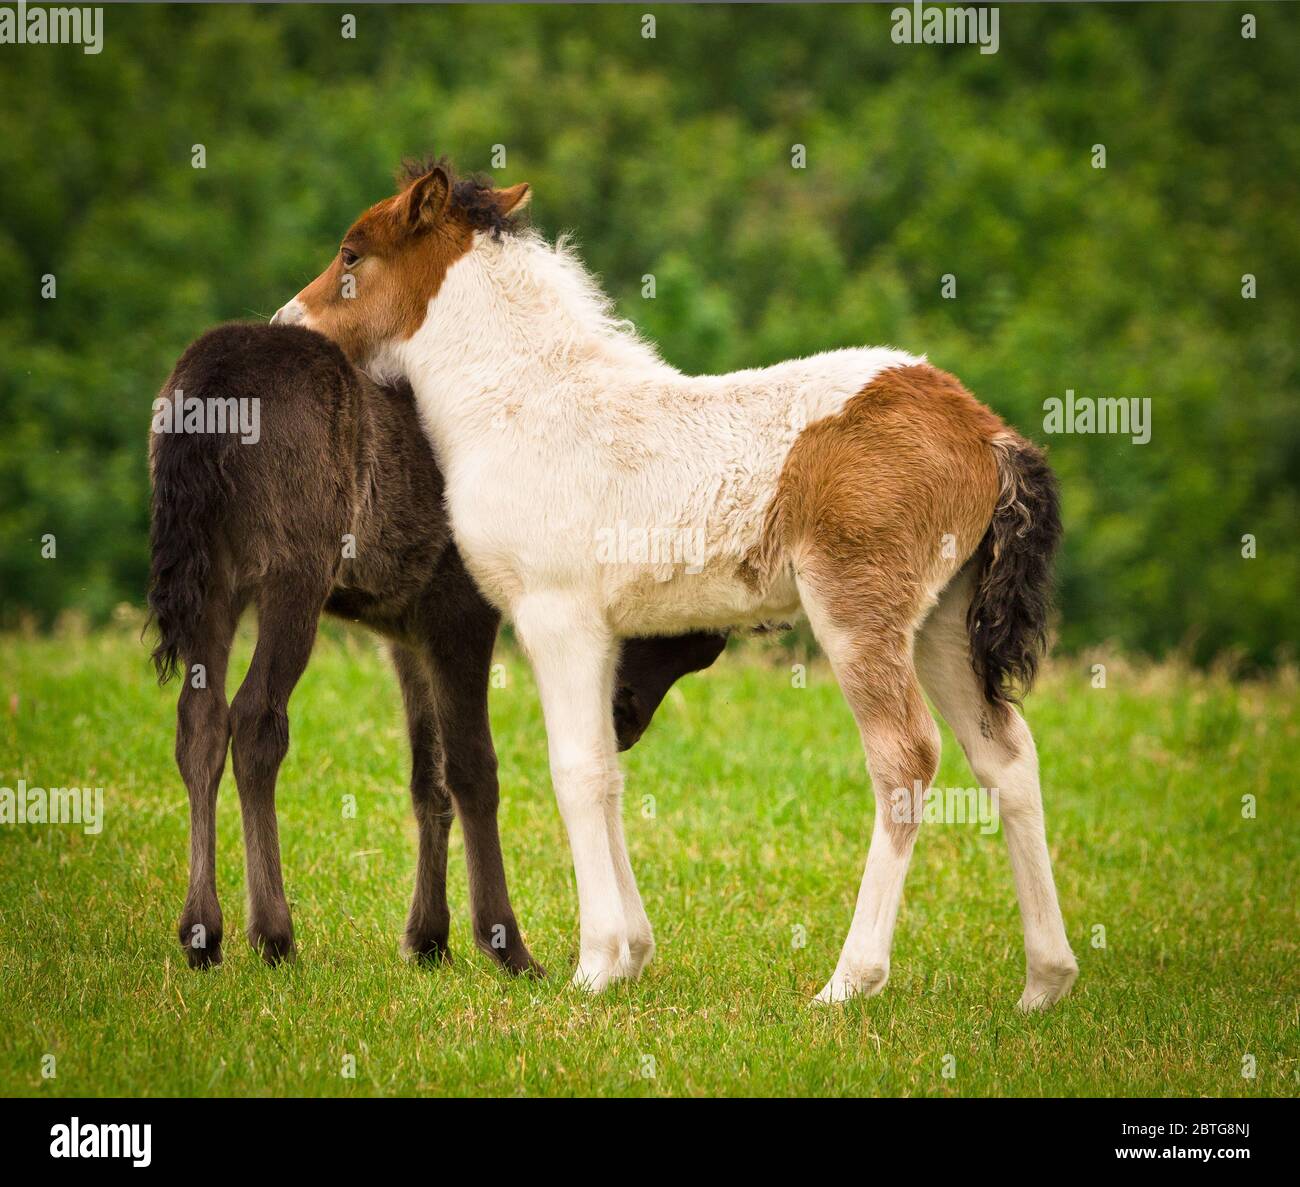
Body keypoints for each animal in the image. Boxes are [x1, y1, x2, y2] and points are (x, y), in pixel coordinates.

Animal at [147, 321, 726, 973]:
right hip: (293, 573)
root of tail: (211, 382)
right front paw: (506, 945)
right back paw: (273, 933)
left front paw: (428, 939)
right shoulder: (460, 613)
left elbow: (430, 776)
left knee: (199, 723)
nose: (622, 717)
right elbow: (475, 769)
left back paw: (202, 933)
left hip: (213, 583)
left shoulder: (408, 633)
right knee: (254, 720)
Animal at [271, 158, 1078, 1009]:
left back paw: (849, 980)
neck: (523, 405)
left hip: (860, 613)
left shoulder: (556, 616)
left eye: (352, 254)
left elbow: (576, 771)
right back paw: (1045, 980)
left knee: (906, 759)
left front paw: (594, 964)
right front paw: (631, 953)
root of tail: (986, 431)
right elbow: (608, 771)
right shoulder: (603, 635)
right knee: (1006, 757)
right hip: (944, 623)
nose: (288, 319)